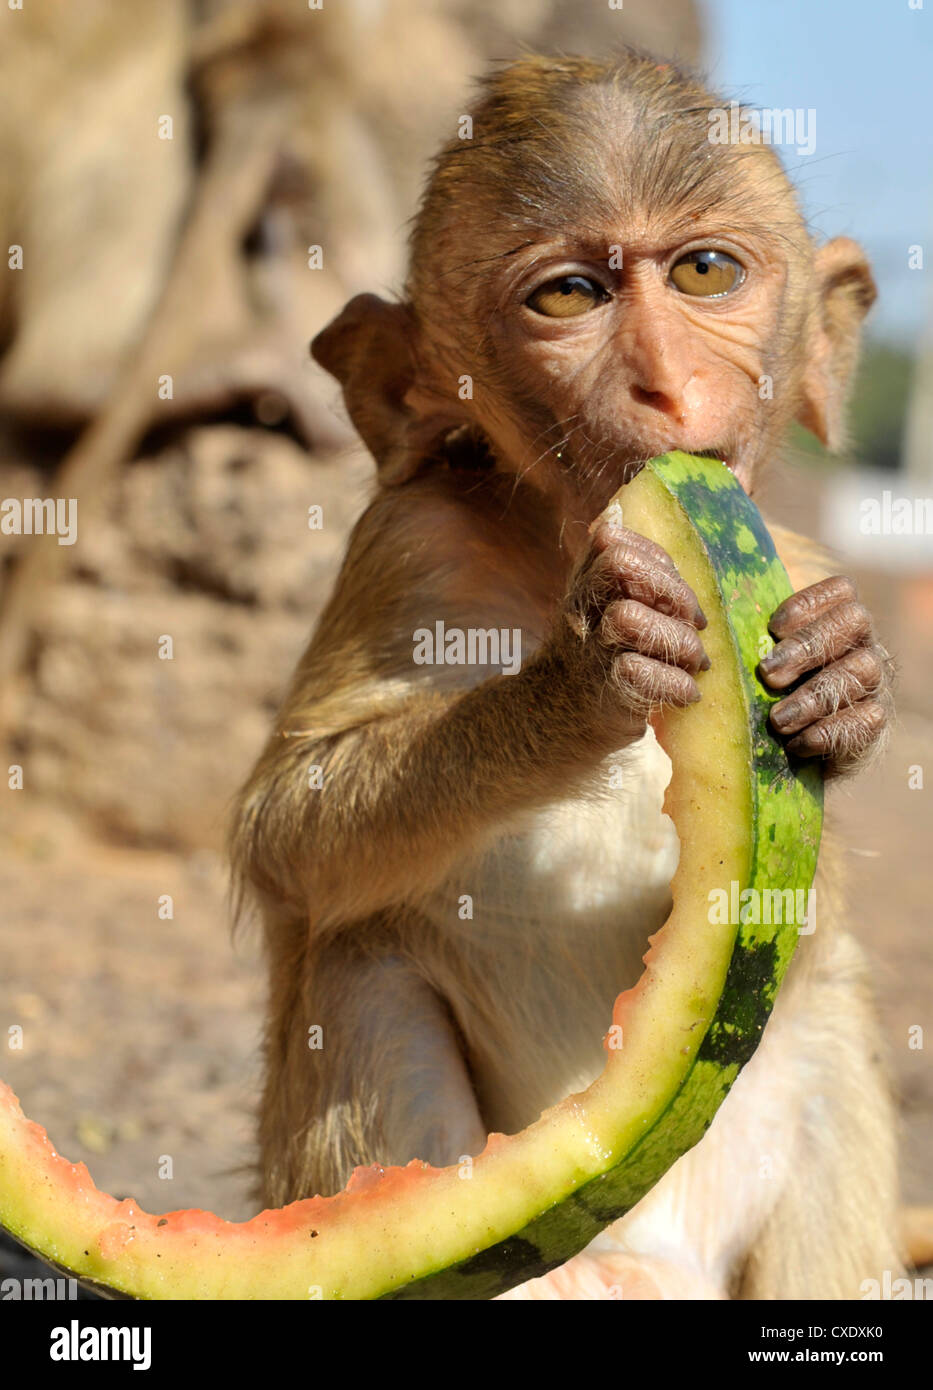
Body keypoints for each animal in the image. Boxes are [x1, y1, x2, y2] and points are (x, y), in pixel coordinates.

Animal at [231, 52, 903, 1299]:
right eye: (569, 297)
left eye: (705, 272)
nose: (668, 386)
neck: (551, 544)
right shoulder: (406, 544)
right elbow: (287, 828)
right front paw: (585, 672)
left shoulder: (801, 560)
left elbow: (801, 919)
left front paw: (848, 682)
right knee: (359, 966)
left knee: (828, 1014)